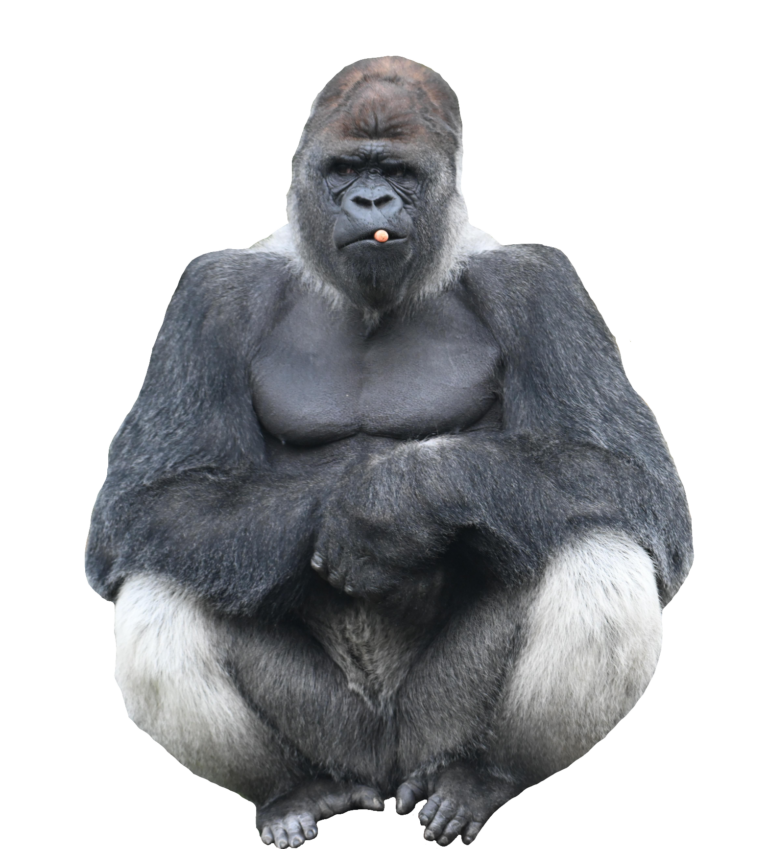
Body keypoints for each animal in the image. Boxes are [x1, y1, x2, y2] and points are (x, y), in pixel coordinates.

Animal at [85, 56, 693, 847]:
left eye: (397, 173)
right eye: (345, 169)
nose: (370, 198)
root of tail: (379, 769)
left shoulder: (539, 281)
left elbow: (628, 478)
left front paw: (388, 507)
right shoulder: (211, 292)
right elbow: (147, 503)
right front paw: (358, 511)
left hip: (432, 727)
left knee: (598, 543)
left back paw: (482, 776)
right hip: (338, 736)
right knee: (166, 576)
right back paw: (292, 791)